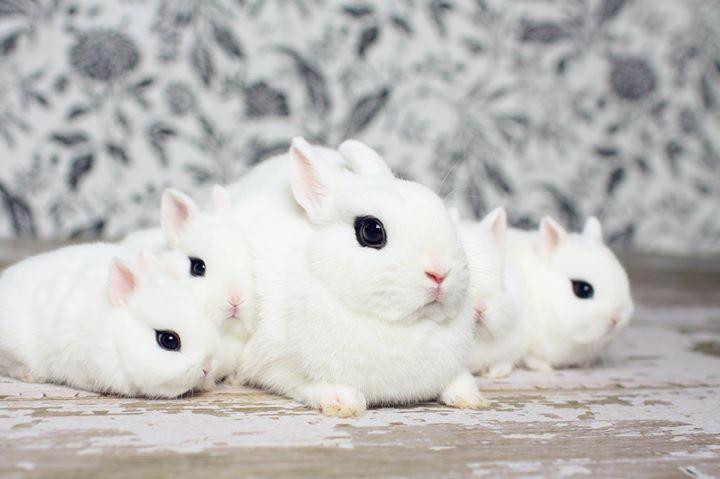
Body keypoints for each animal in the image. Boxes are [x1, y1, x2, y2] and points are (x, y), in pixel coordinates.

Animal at [226, 137, 488, 417]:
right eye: (372, 231)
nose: (439, 272)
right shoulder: (275, 364)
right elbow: (300, 383)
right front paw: (343, 401)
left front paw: (470, 396)